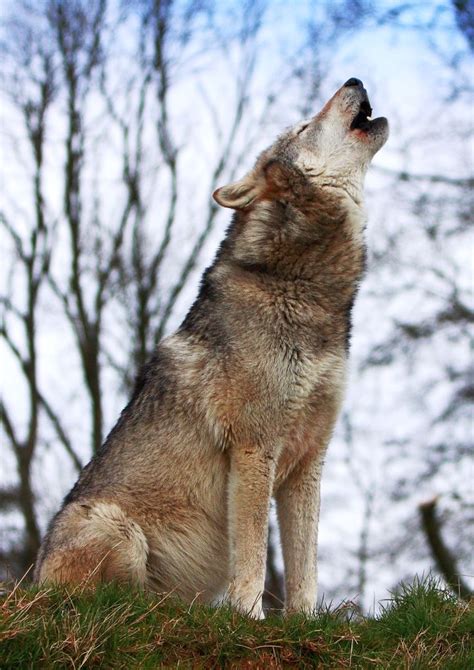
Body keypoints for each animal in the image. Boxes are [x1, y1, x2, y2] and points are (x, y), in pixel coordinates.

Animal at [34, 78, 388, 618]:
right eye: (305, 126)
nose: (354, 80)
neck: (296, 285)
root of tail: (29, 584)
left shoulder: (308, 461)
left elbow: (304, 565)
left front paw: (305, 621)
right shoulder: (253, 448)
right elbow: (253, 555)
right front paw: (250, 618)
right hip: (112, 526)